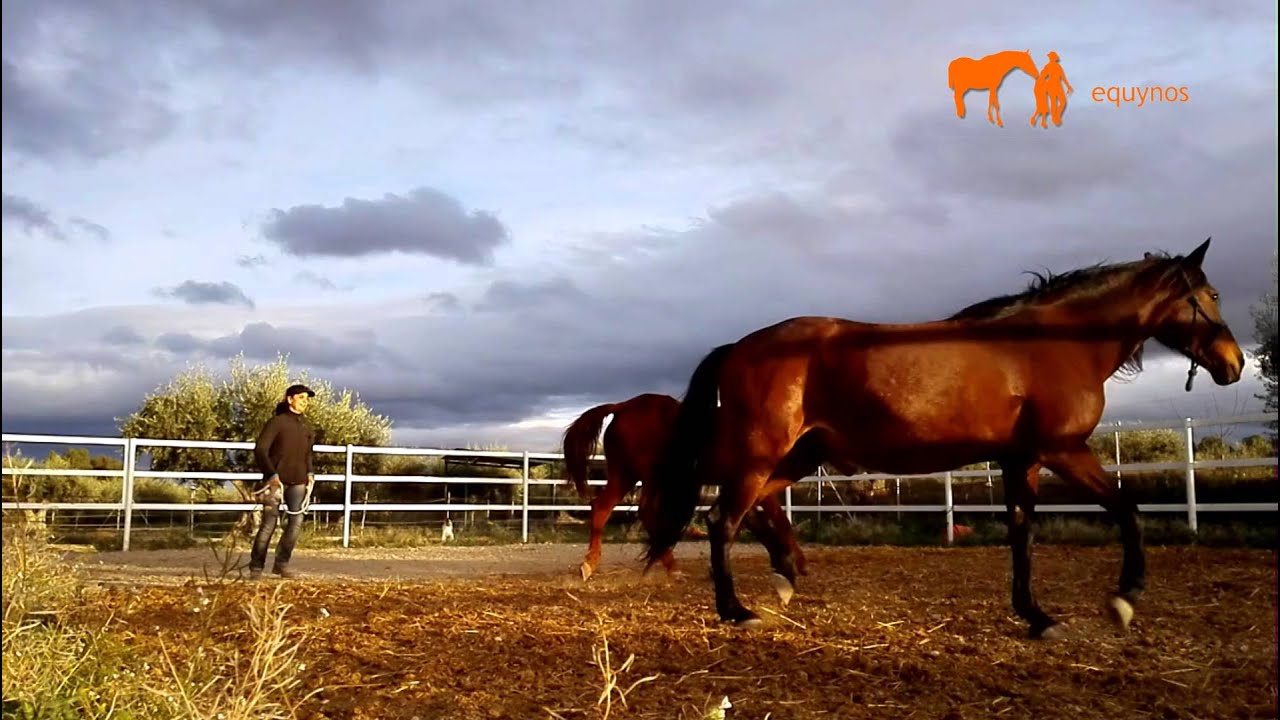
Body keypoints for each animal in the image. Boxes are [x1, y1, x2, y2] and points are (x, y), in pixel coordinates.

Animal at [562, 392, 821, 595]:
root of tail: (622, 407)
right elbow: (780, 519)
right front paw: (800, 563)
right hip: (648, 476)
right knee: (643, 511)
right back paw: (670, 568)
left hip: (625, 475)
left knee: (603, 507)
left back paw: (591, 564)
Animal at [643, 238, 1244, 639]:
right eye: (1212, 294)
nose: (1234, 363)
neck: (1054, 344)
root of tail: (739, 347)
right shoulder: (1064, 451)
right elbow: (1129, 510)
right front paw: (1124, 598)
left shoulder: (1021, 459)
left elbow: (1023, 536)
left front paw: (1037, 617)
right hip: (762, 452)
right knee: (721, 519)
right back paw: (737, 609)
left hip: (797, 455)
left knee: (755, 508)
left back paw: (787, 575)